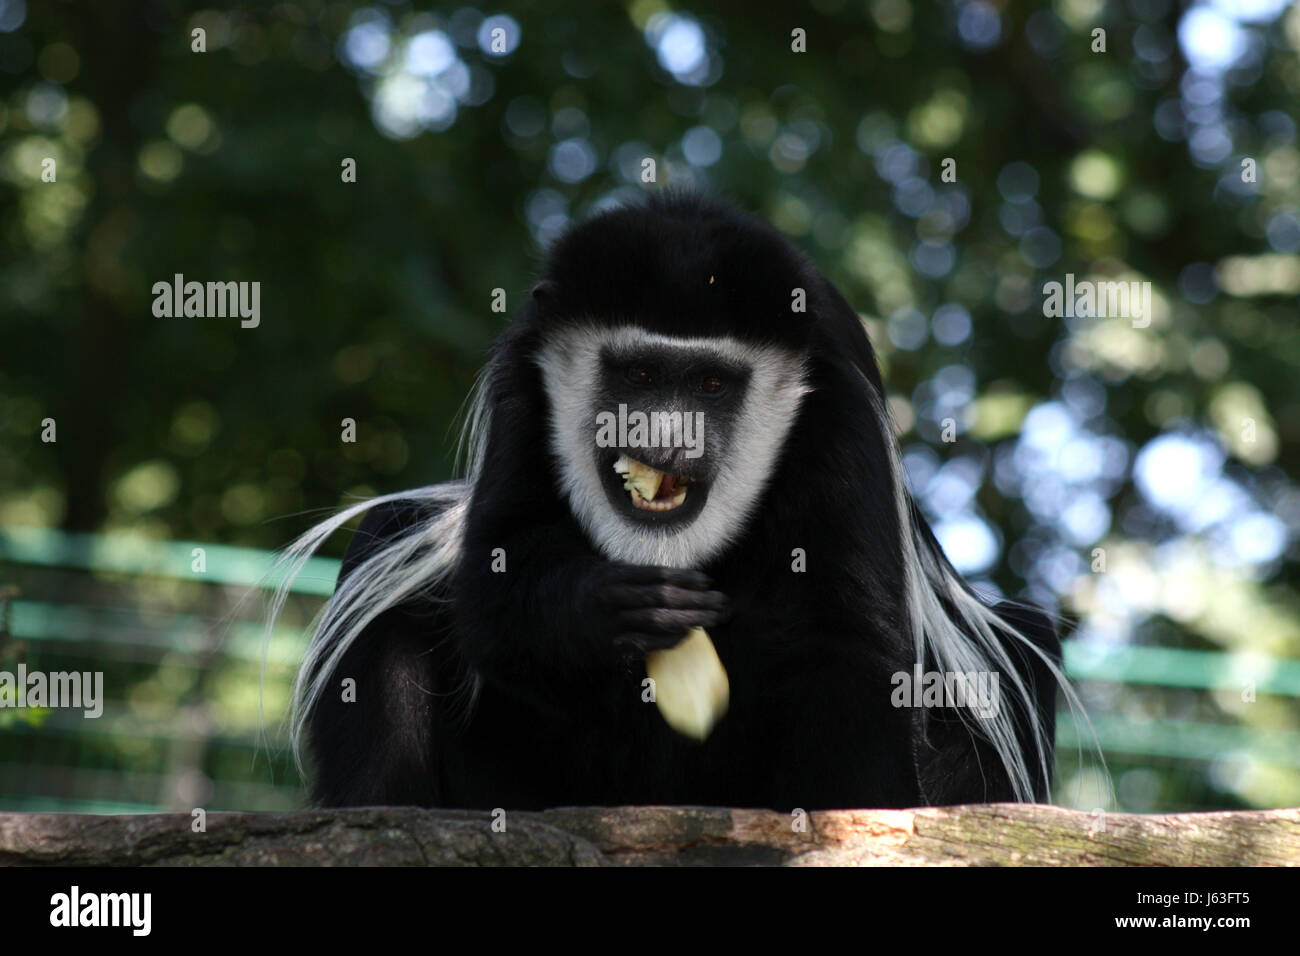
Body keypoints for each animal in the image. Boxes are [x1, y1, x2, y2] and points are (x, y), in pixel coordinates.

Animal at [269, 192, 1083, 811]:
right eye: (636, 374)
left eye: (711, 385)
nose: (665, 436)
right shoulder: (522, 388)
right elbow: (500, 581)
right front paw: (610, 608)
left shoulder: (842, 425)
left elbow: (847, 649)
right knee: (391, 570)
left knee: (1016, 643)